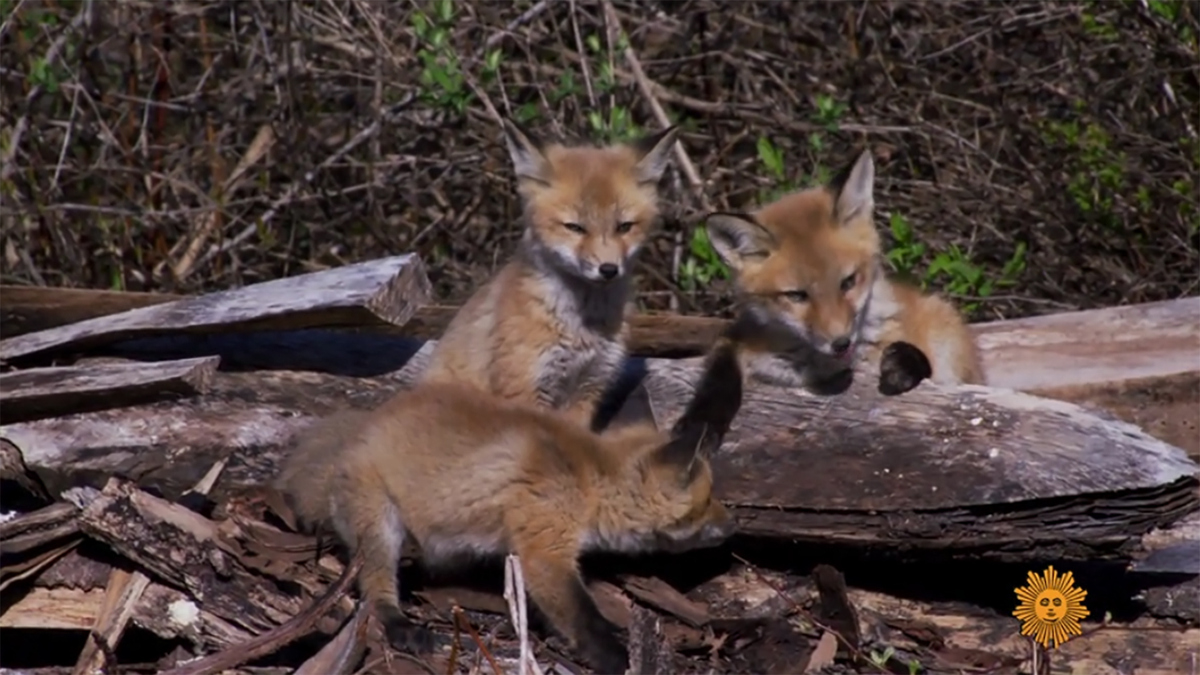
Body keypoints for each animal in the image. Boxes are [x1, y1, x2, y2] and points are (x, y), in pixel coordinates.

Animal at [273, 312, 935, 674]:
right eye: (704, 501)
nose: (733, 524)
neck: (588, 479)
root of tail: (360, 430)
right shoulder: (544, 549)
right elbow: (582, 616)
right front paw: (615, 657)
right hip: (381, 526)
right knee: (374, 590)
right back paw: (400, 622)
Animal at [418, 118, 680, 431]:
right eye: (575, 228)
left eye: (624, 227)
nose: (608, 270)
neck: (583, 328)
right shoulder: (525, 387)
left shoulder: (591, 384)